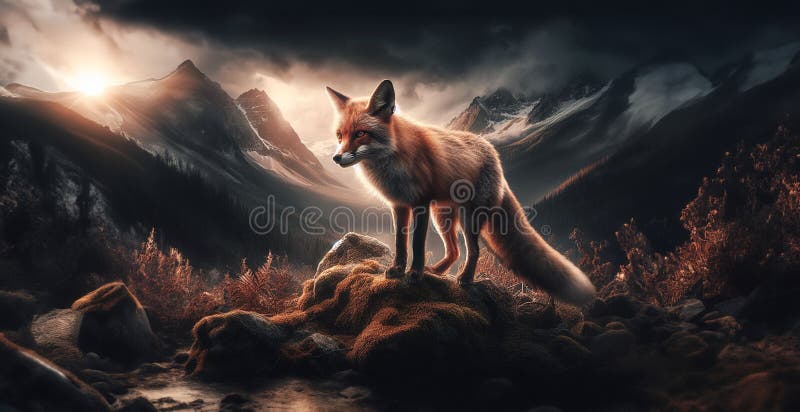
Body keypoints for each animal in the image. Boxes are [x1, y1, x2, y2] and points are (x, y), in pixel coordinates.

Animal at [326, 80, 596, 305]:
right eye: (339, 135)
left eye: (361, 133)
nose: (336, 158)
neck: (391, 160)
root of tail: (495, 158)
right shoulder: (399, 205)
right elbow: (401, 243)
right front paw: (397, 270)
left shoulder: (420, 203)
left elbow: (417, 243)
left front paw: (414, 273)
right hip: (443, 216)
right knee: (454, 251)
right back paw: (437, 272)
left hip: (468, 218)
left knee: (472, 251)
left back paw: (464, 279)